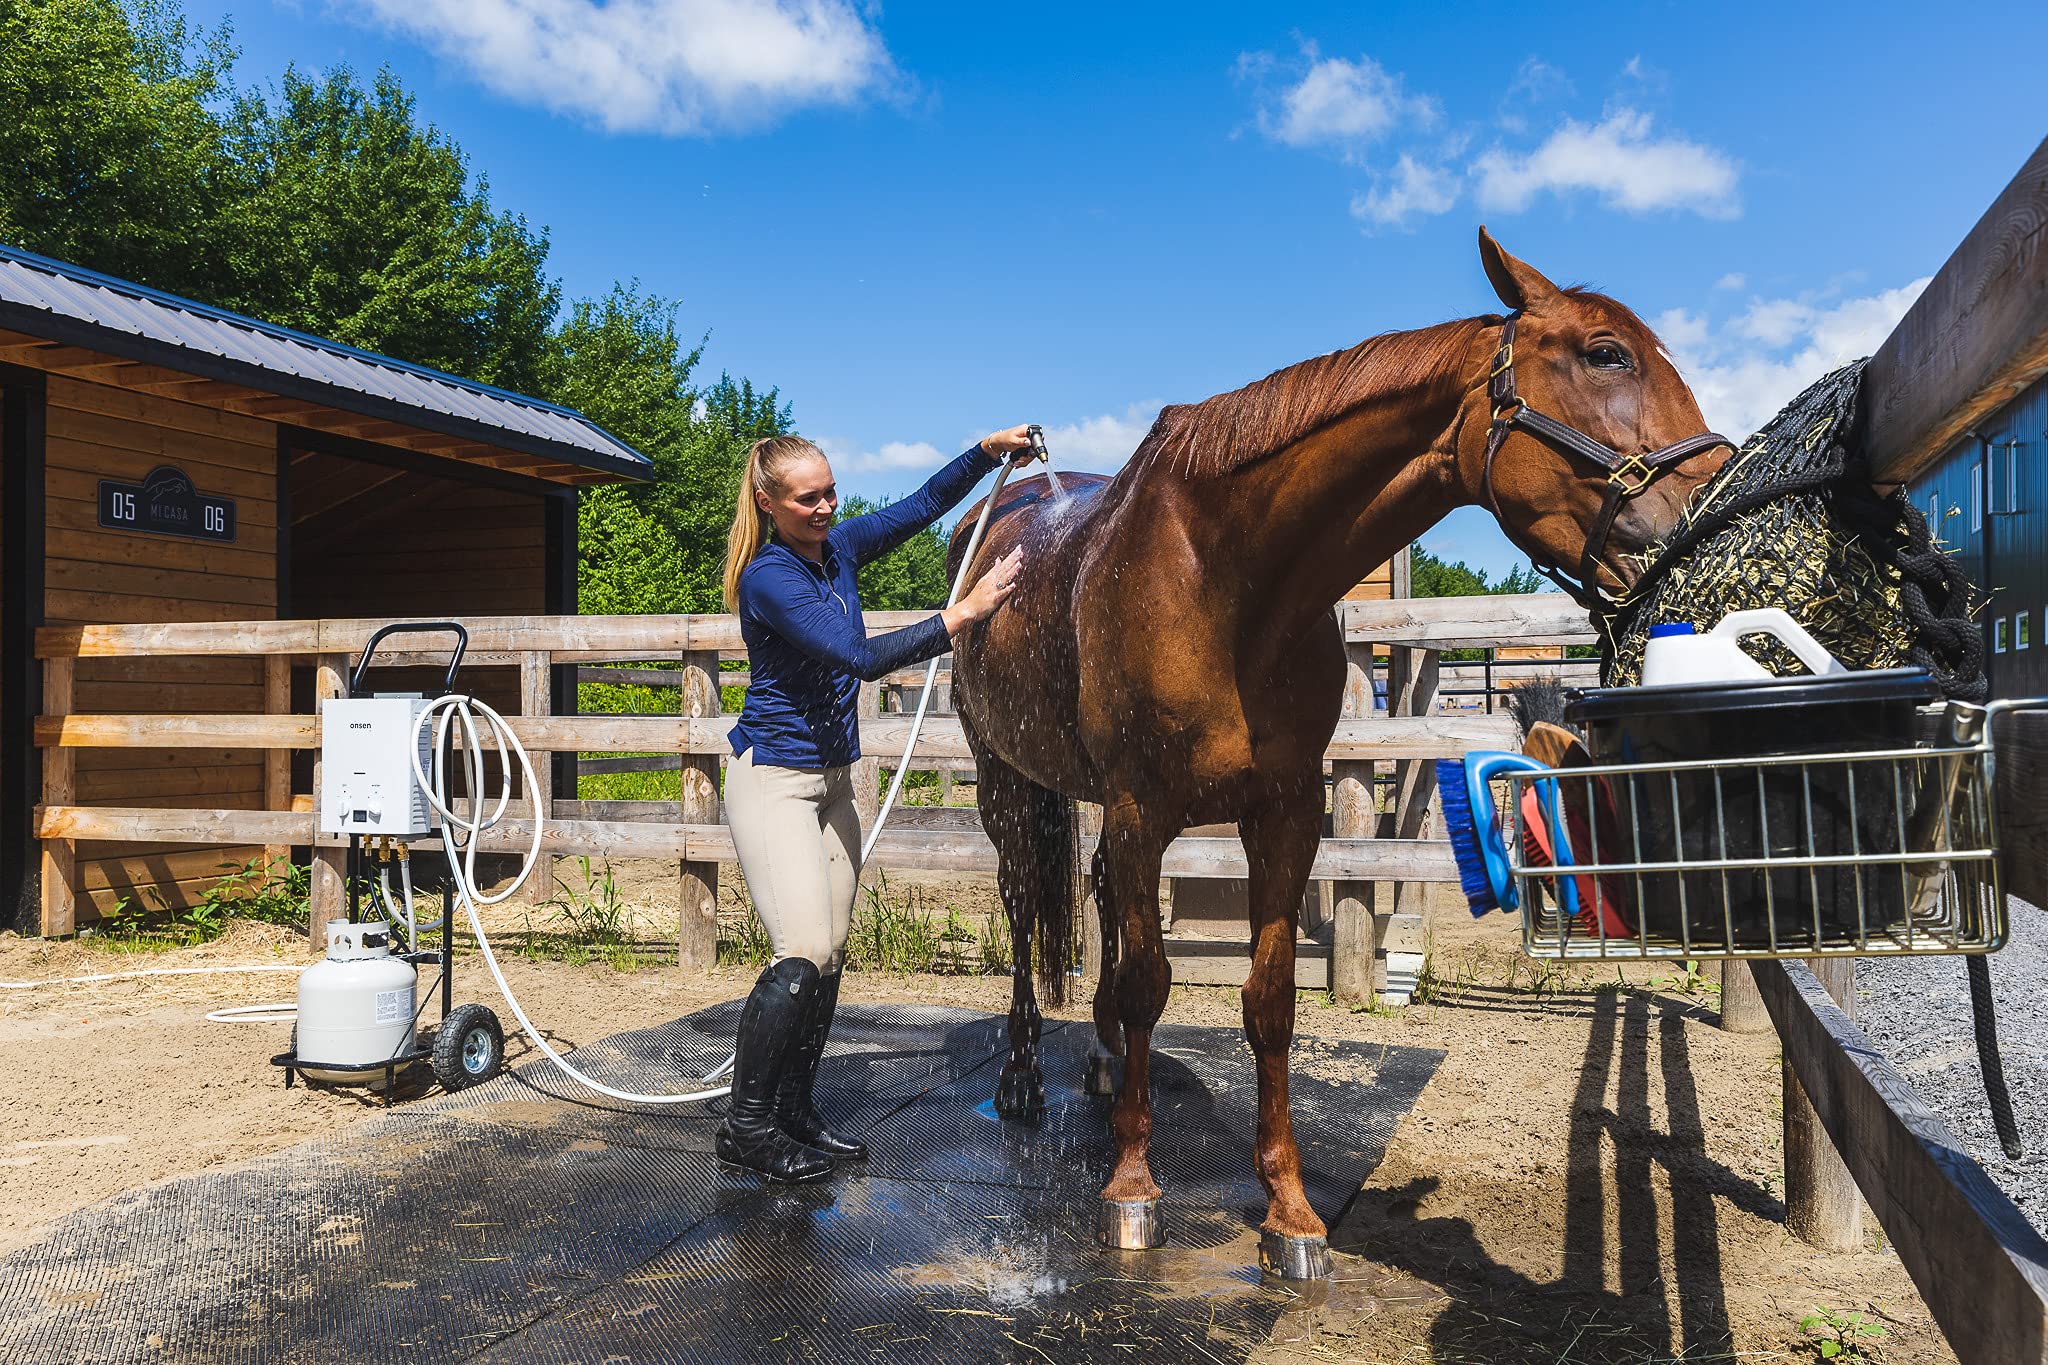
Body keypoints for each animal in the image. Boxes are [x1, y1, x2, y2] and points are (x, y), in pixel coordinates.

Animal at [942, 232, 1728, 1285]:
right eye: (1606, 354)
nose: (1711, 508)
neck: (1227, 579)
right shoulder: (1146, 808)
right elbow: (1151, 983)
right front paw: (1134, 1189)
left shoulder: (1282, 814)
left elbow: (1269, 1000)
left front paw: (1288, 1210)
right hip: (1005, 778)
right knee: (1029, 907)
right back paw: (1027, 1073)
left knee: (1099, 896)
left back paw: (1104, 1063)